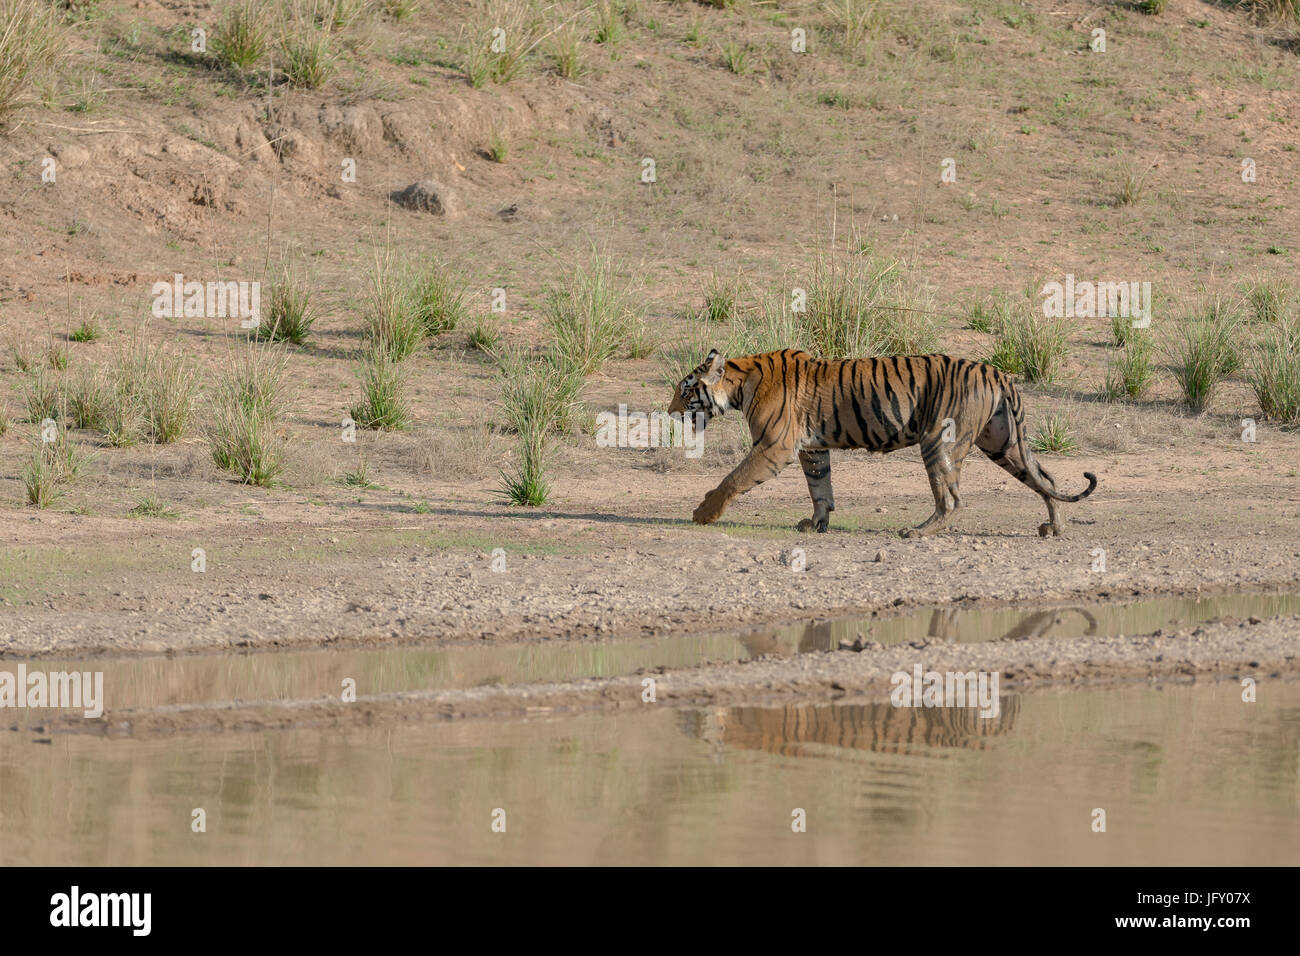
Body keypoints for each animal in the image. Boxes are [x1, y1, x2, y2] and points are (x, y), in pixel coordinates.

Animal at [667, 348, 1096, 538]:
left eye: (685, 391)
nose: (669, 412)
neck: (740, 382)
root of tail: (1000, 373)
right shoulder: (811, 448)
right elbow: (820, 488)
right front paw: (816, 523)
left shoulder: (774, 446)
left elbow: (733, 479)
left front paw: (703, 513)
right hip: (1003, 445)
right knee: (1047, 479)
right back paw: (1054, 527)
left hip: (939, 442)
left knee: (952, 498)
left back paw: (918, 531)